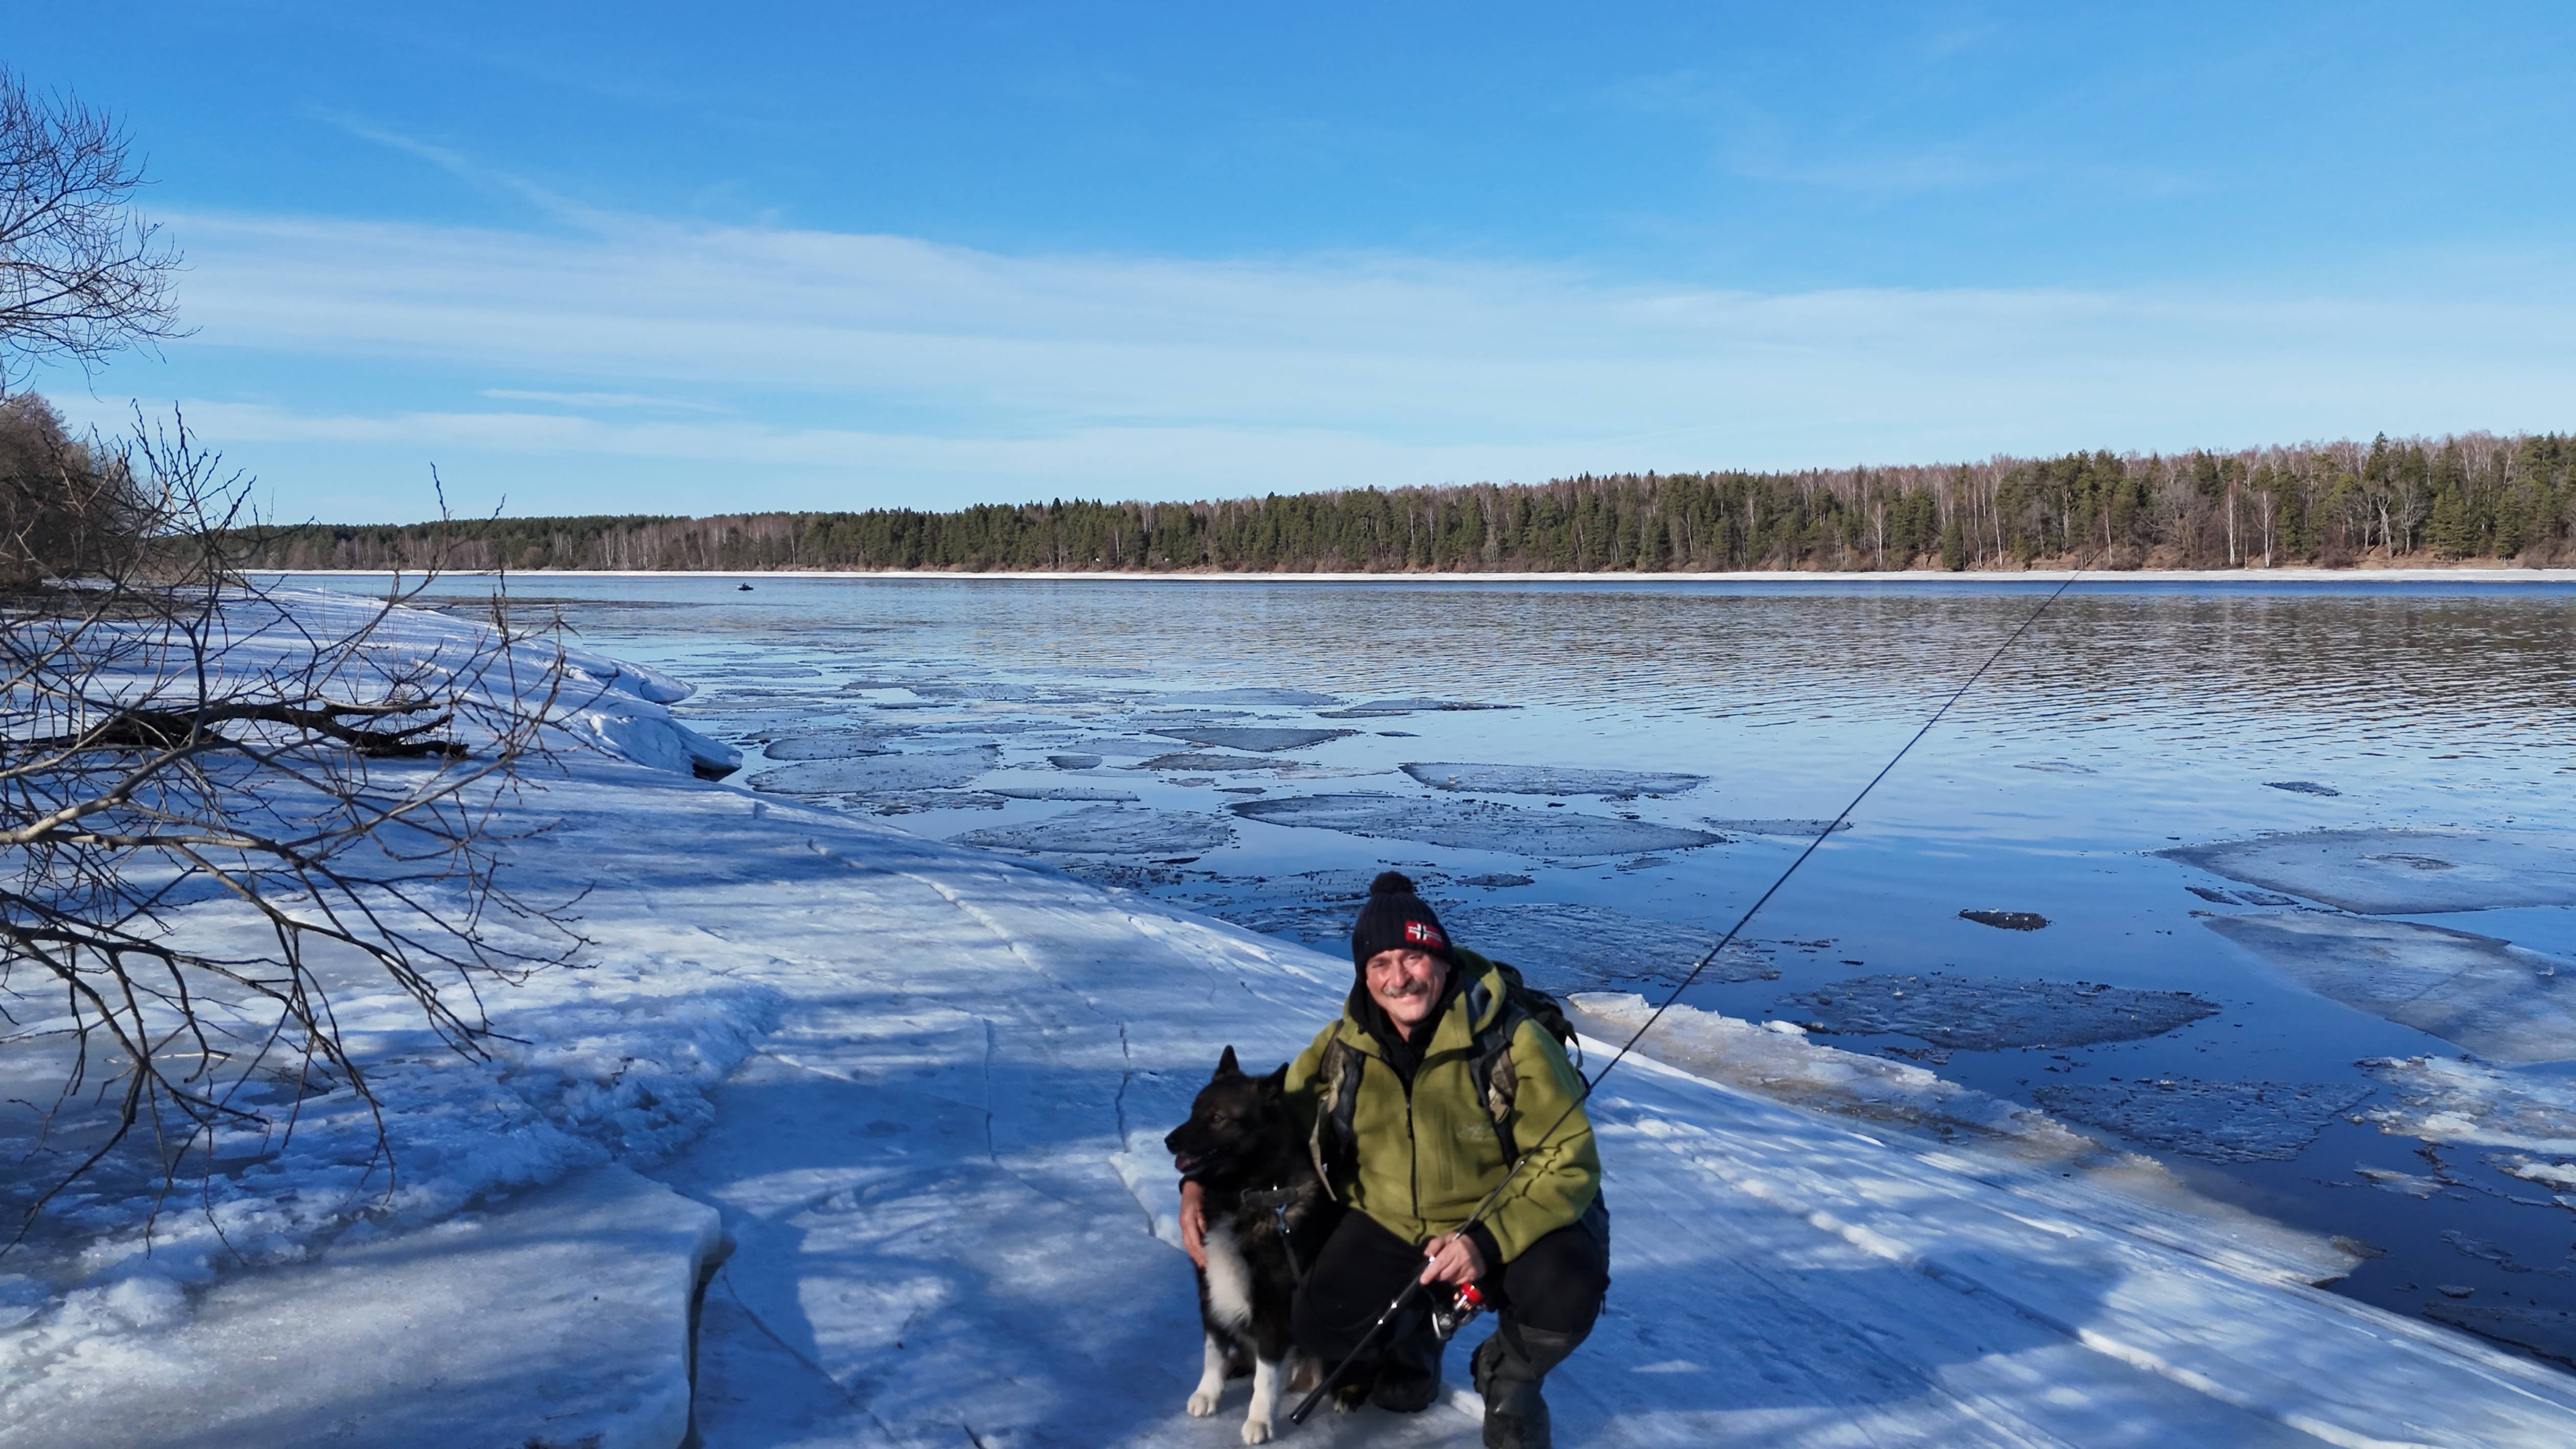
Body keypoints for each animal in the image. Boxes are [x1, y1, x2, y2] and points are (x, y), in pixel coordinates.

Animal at [1159, 1036, 1339, 1433]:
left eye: (1217, 1118)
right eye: (1194, 1110)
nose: (1169, 1141)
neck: (1246, 1192)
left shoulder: (1275, 1308)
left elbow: (1267, 1376)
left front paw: (1260, 1418)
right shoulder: (1210, 1291)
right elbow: (1213, 1351)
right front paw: (1208, 1393)